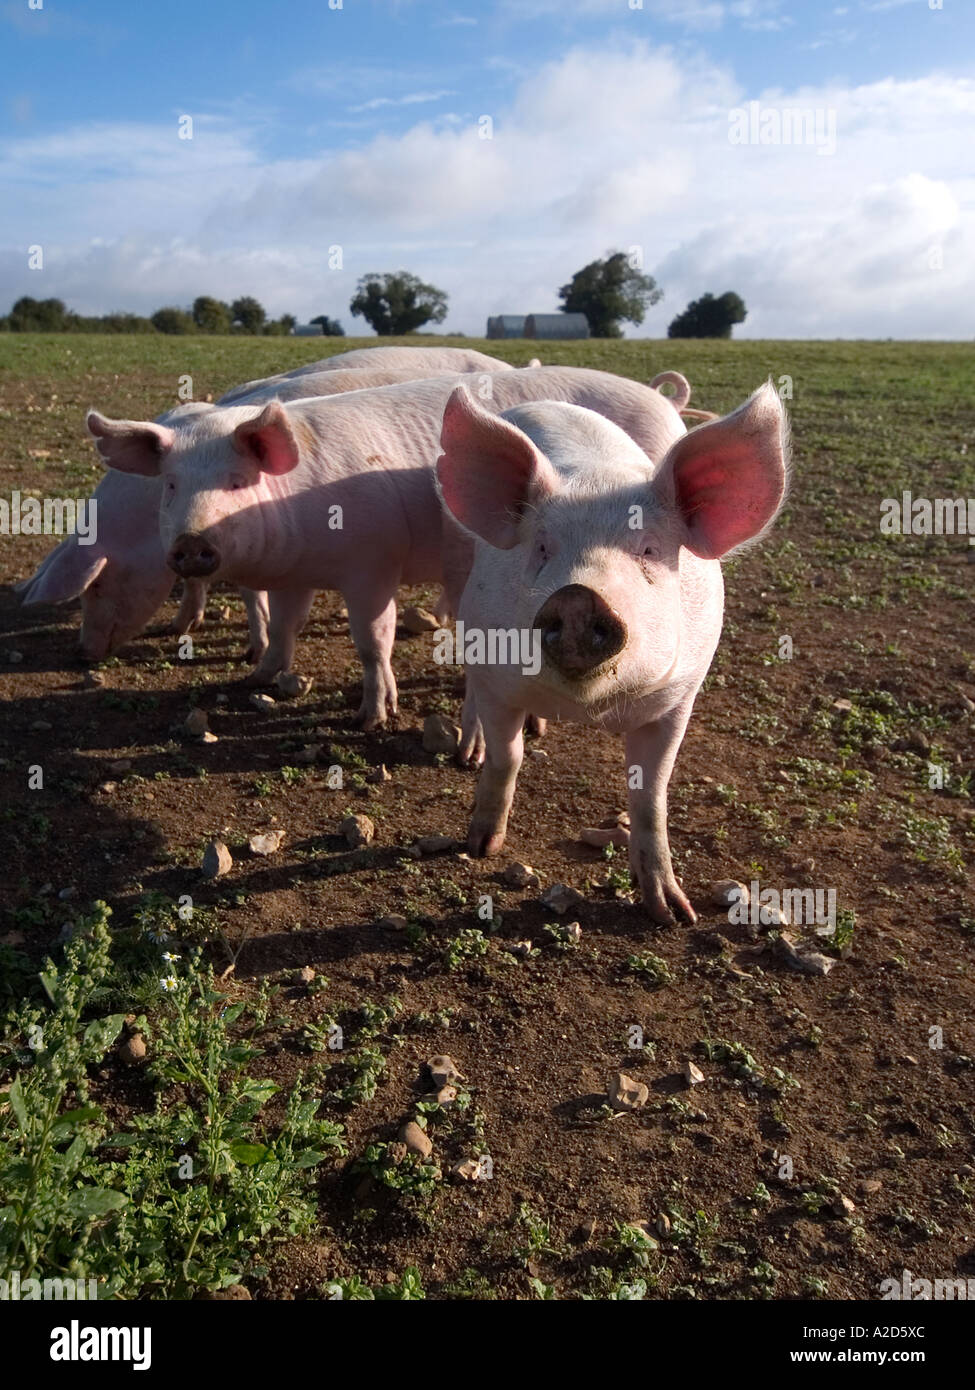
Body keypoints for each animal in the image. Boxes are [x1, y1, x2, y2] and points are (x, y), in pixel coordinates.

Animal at [85, 367, 700, 729]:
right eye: (170, 485)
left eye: (238, 482)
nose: (191, 543)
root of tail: (663, 404)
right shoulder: (294, 576)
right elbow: (285, 625)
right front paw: (259, 679)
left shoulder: (372, 566)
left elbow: (371, 639)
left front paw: (373, 718)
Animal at [435, 382, 789, 925]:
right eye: (542, 548)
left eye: (648, 550)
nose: (578, 597)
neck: (586, 708)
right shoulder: (499, 678)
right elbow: (506, 757)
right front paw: (479, 847)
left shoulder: (679, 696)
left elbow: (651, 793)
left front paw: (672, 913)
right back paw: (468, 752)